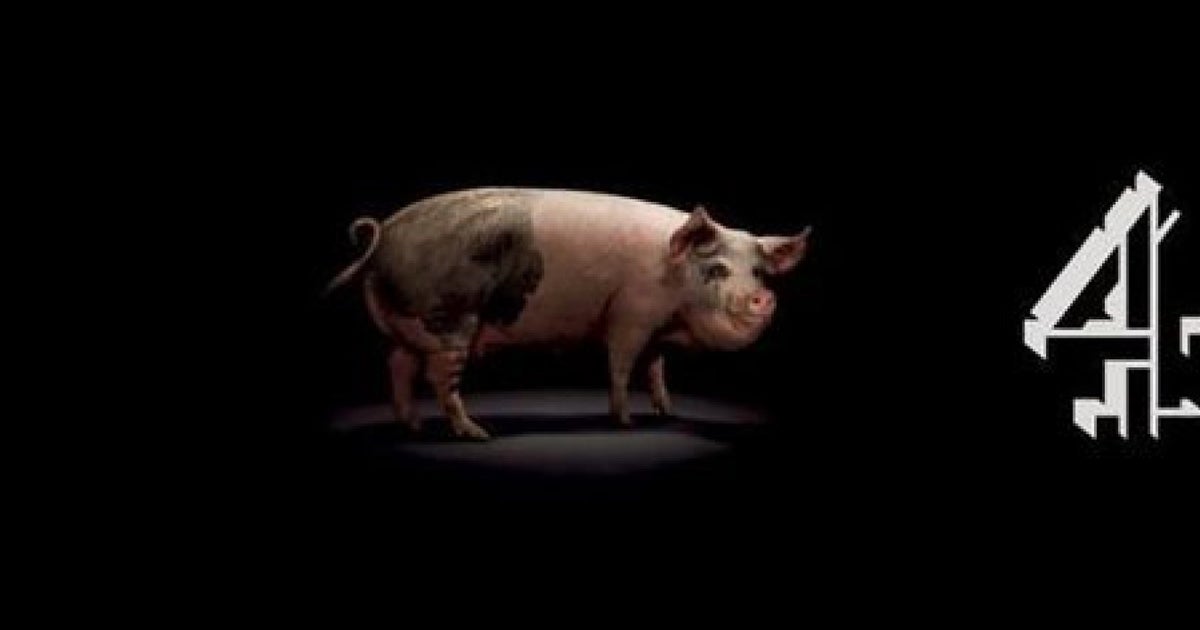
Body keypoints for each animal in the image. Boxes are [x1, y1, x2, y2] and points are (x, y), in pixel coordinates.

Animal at [325, 188, 810, 439]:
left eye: (759, 273)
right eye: (717, 269)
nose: (763, 298)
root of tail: (383, 235)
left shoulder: (654, 330)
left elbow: (655, 368)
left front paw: (666, 414)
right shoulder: (629, 316)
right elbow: (621, 367)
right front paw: (626, 422)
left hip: (409, 327)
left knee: (398, 363)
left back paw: (411, 426)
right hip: (451, 320)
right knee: (438, 377)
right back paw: (477, 433)